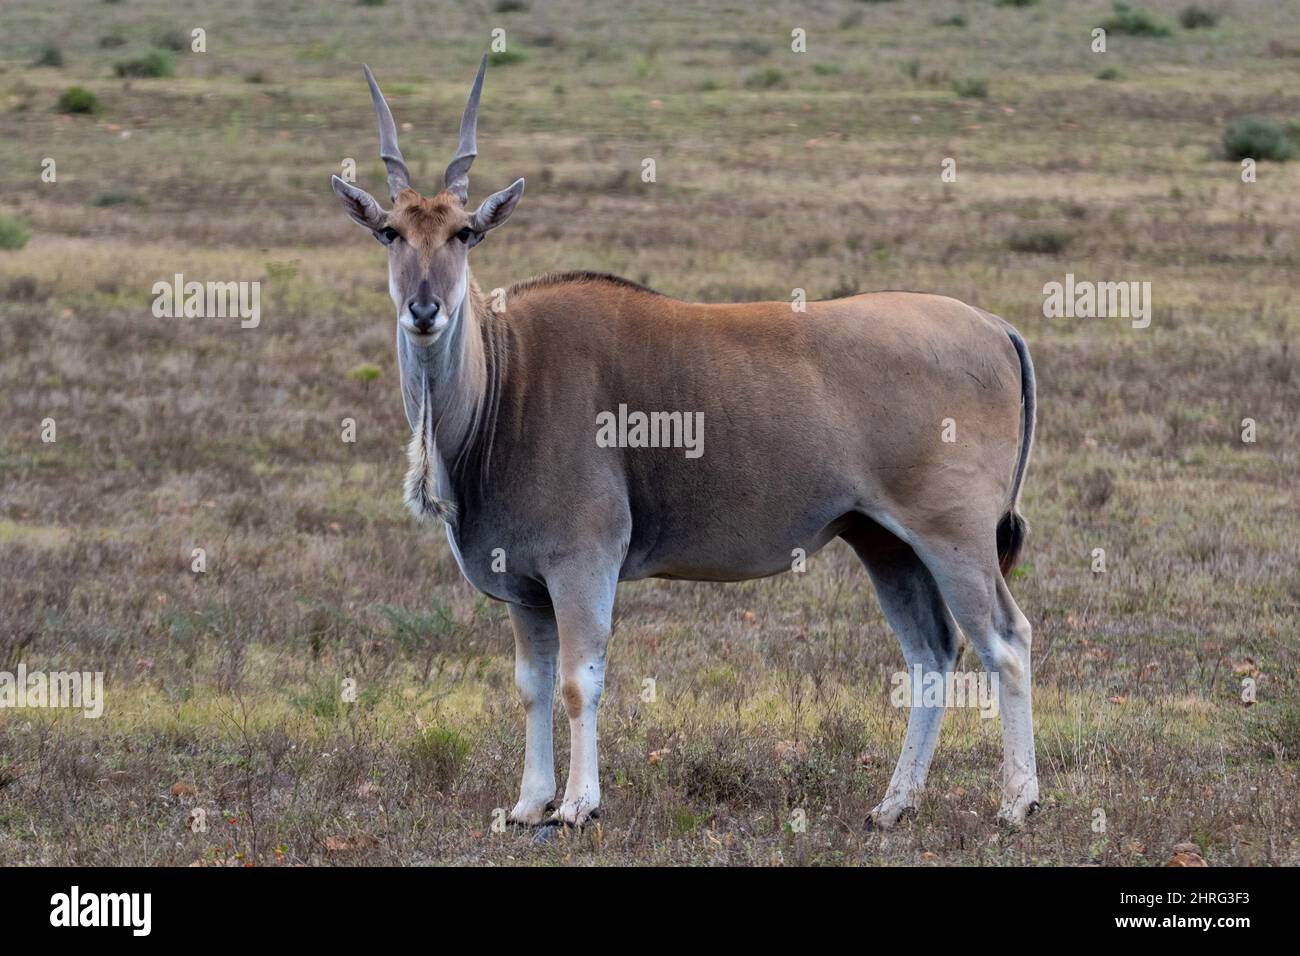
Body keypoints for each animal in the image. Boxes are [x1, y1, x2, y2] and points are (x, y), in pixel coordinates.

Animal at [331, 57, 1041, 830]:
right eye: (390, 233)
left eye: (463, 233)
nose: (424, 309)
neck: (506, 376)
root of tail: (995, 325)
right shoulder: (527, 590)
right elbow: (532, 686)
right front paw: (527, 802)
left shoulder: (583, 564)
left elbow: (578, 682)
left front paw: (576, 804)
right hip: (885, 541)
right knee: (931, 651)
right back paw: (893, 805)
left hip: (953, 536)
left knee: (1006, 640)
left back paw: (1017, 802)